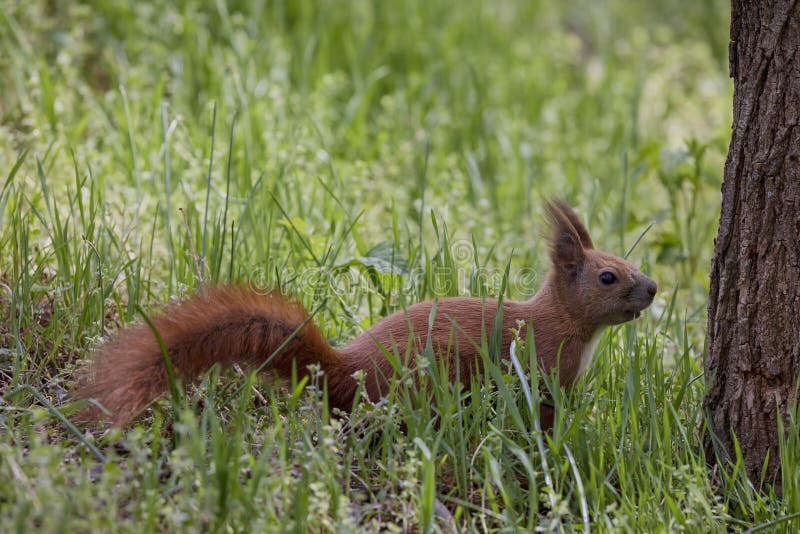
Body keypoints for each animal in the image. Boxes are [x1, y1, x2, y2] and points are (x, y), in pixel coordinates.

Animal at [73, 200, 657, 426]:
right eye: (608, 277)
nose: (652, 289)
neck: (563, 324)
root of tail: (344, 369)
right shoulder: (543, 371)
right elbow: (545, 415)